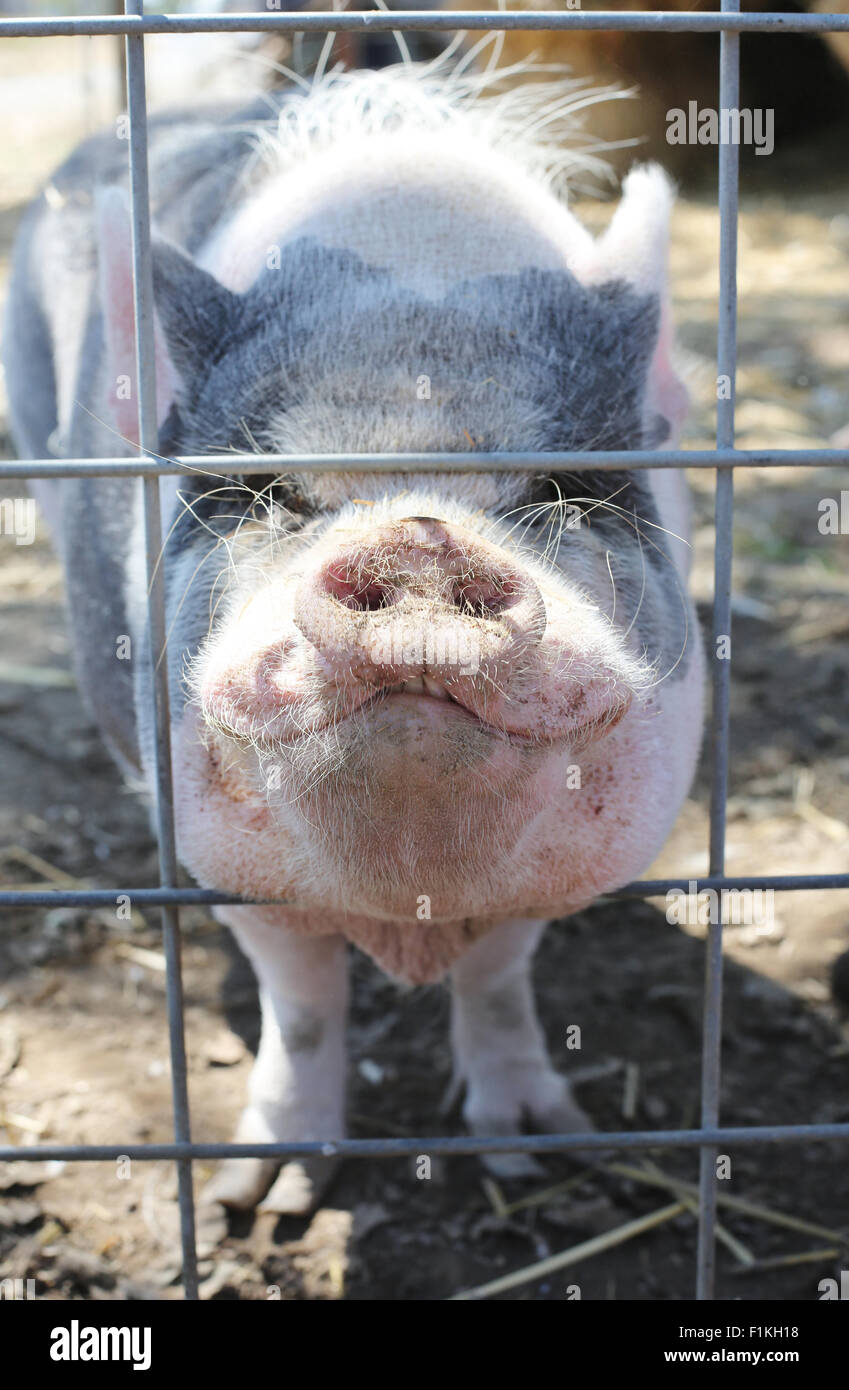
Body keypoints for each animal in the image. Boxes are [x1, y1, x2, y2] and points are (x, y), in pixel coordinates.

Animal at [3, 66, 704, 1213]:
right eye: (271, 495)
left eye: (563, 490)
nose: (419, 538)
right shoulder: (212, 848)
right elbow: (300, 998)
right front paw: (263, 1200)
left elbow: (499, 973)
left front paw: (533, 1148)